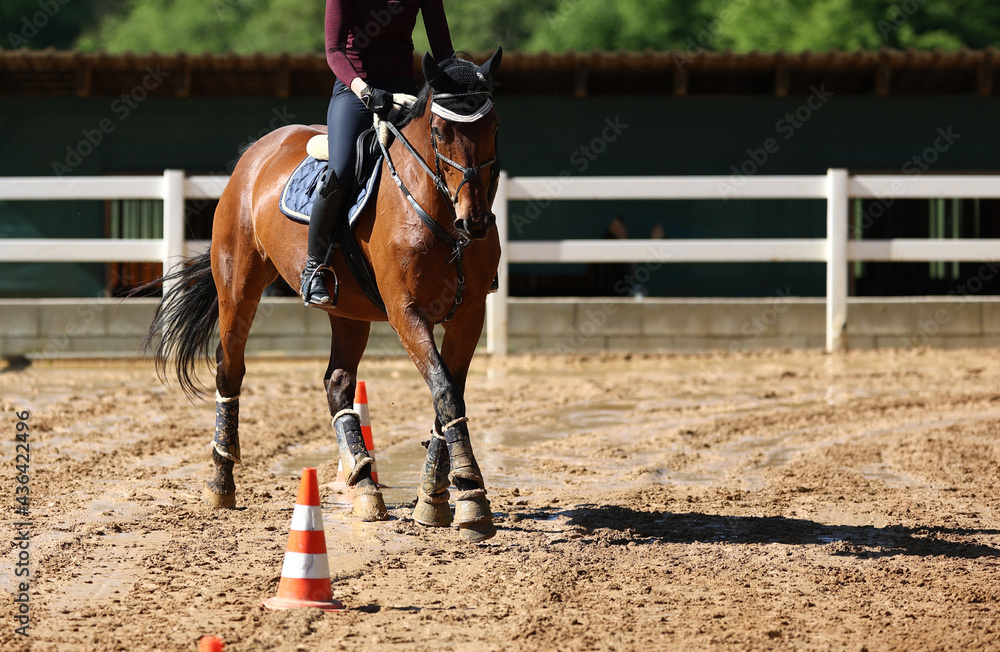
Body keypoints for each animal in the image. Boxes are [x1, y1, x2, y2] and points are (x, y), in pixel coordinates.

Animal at [140, 49, 503, 543]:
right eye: (441, 131)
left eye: (494, 126)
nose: (476, 221)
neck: (440, 217)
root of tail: (258, 151)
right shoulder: (407, 312)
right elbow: (445, 389)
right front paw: (471, 495)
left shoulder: (469, 314)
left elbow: (449, 394)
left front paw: (434, 498)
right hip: (239, 287)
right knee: (229, 369)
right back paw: (221, 480)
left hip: (347, 309)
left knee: (337, 382)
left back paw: (365, 486)